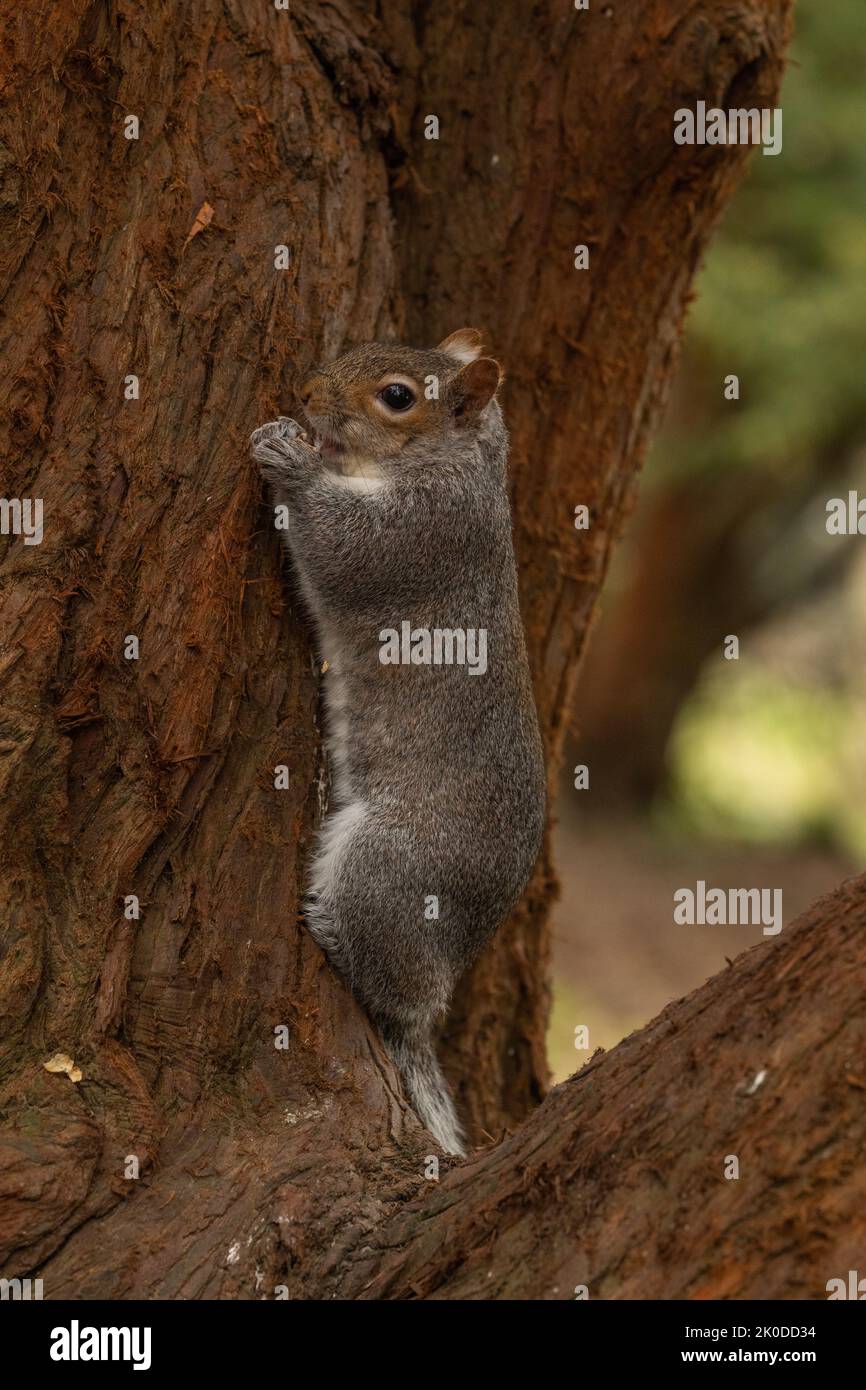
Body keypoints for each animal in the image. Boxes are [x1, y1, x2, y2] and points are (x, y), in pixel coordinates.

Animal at [250, 328, 546, 1156]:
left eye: (396, 397)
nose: (307, 392)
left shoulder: (417, 538)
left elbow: (342, 546)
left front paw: (291, 456)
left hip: (390, 867)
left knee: (379, 975)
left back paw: (334, 934)